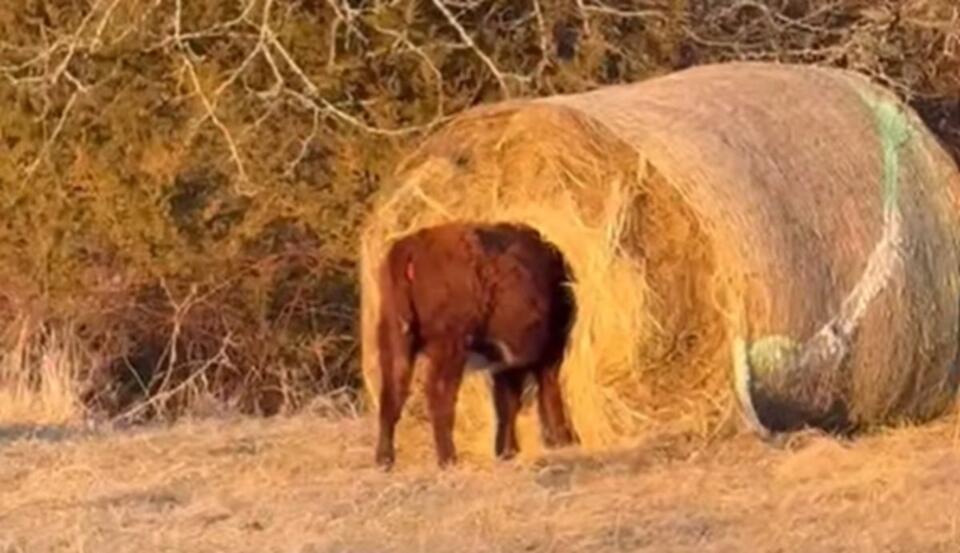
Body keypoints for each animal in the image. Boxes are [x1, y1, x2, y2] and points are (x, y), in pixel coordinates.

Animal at [373, 221, 578, 469]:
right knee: (439, 394)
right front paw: (561, 440)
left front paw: (506, 451)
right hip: (450, 348)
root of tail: (411, 248)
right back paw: (449, 459)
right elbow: (543, 394)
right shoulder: (544, 356)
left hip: (396, 340)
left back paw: (384, 459)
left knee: (392, 394)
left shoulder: (506, 366)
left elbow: (506, 404)